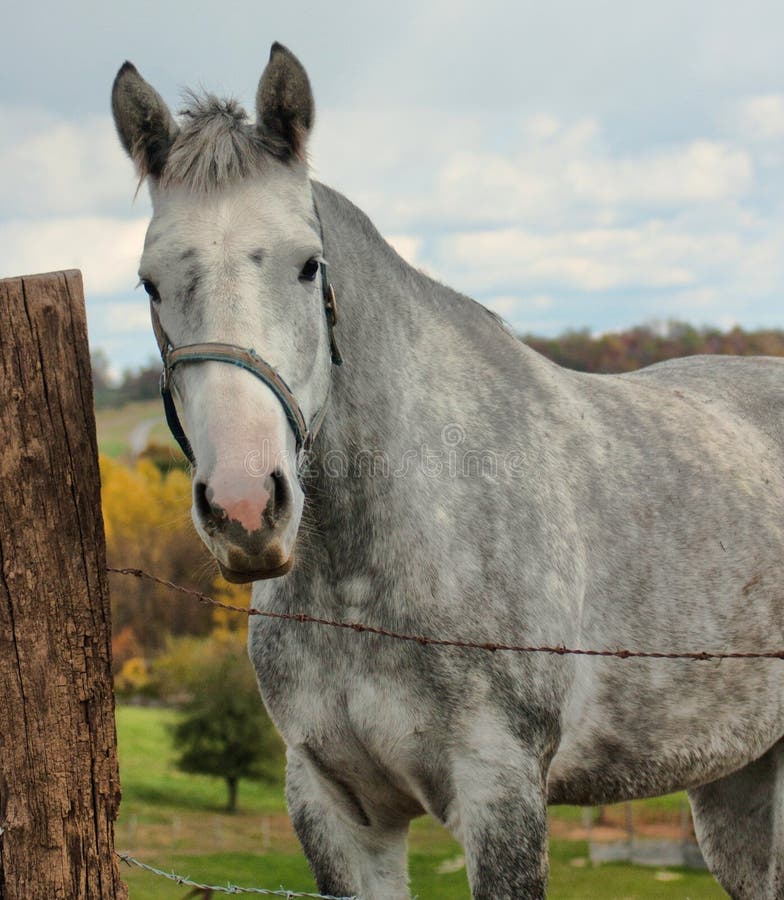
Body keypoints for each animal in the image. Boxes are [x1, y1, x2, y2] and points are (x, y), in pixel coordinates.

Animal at [112, 44, 784, 899]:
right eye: (150, 282)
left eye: (308, 266)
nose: (245, 508)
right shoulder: (333, 804)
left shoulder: (500, 793)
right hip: (740, 779)